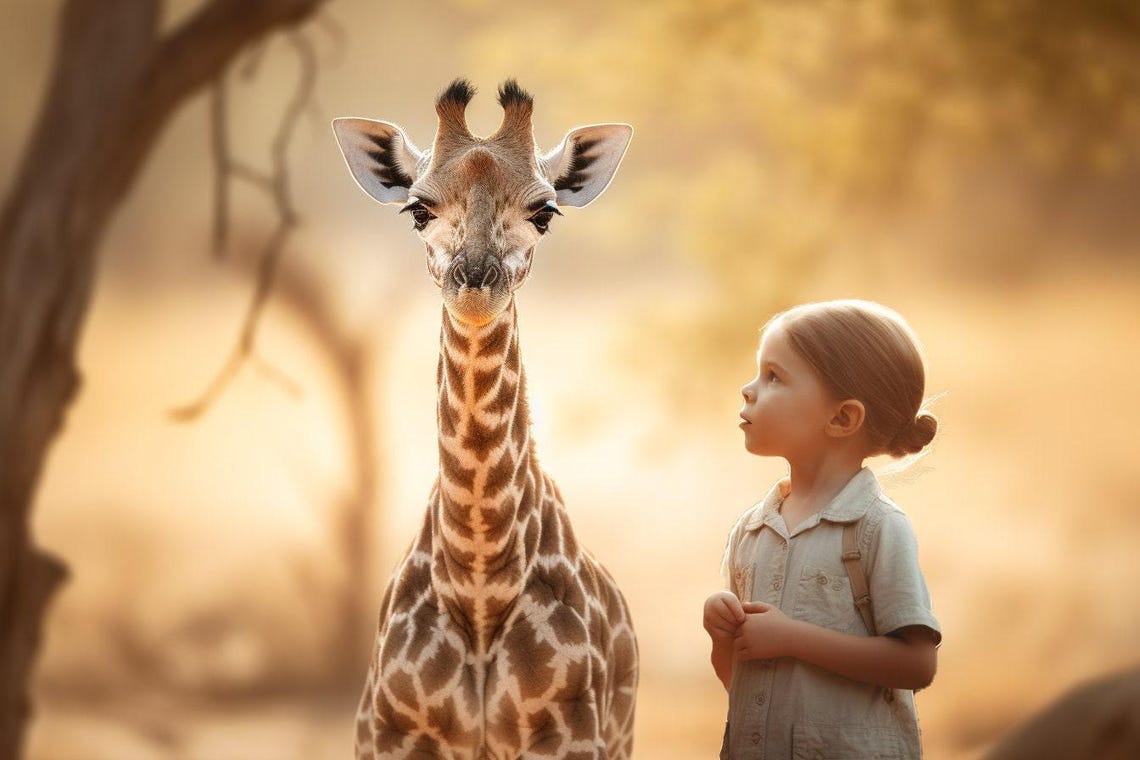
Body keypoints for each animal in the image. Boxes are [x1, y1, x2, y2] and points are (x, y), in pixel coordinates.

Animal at [333, 79, 637, 759]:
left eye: (543, 212)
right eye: (417, 209)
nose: (475, 281)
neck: (478, 586)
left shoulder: (565, 736)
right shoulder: (393, 735)